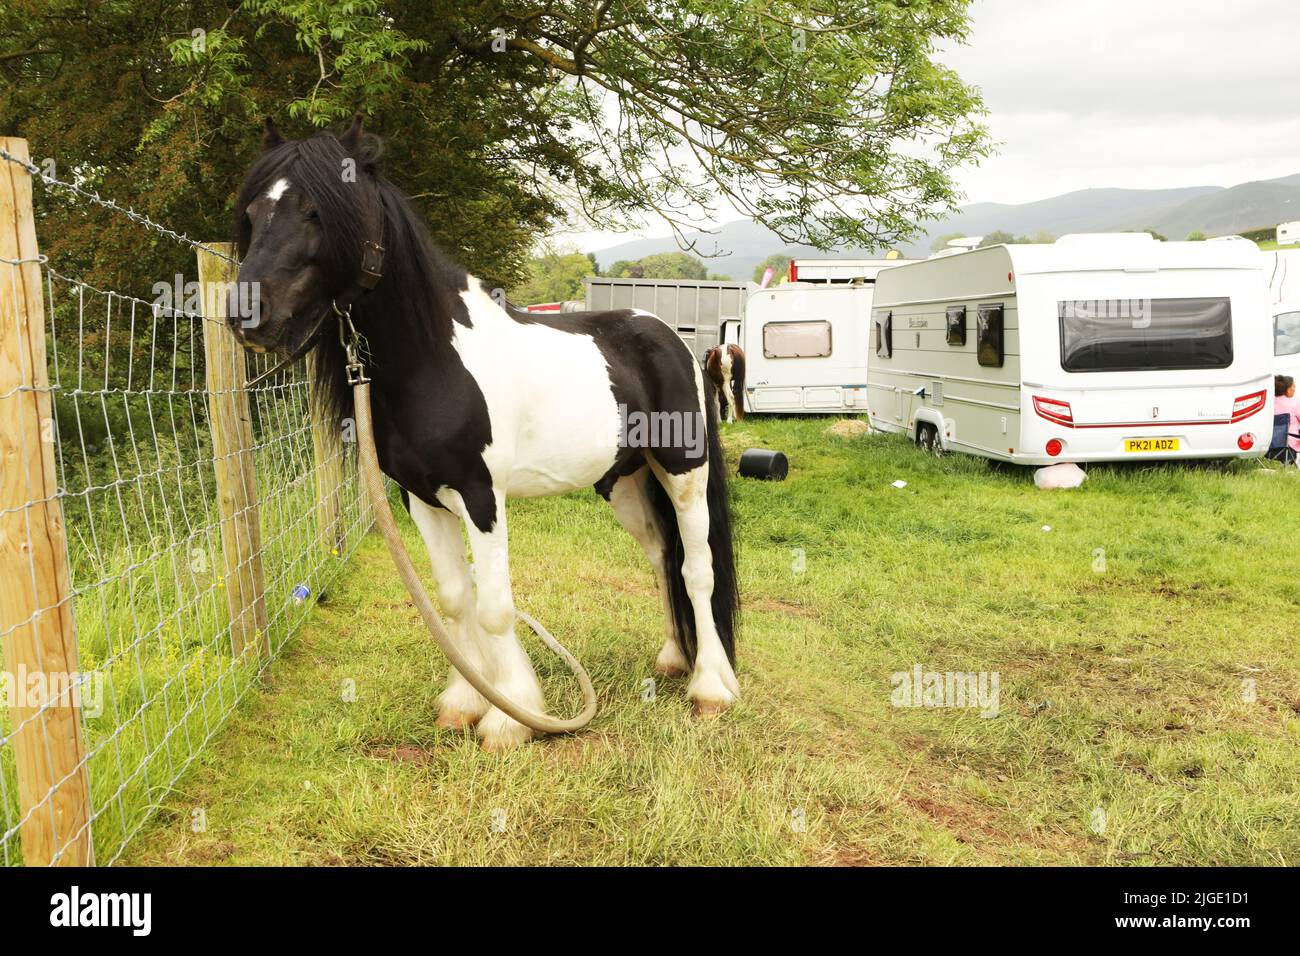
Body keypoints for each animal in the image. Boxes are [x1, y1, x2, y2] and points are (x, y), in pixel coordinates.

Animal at [226, 116, 740, 750]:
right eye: (252, 214)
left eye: (318, 211)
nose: (248, 316)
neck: (435, 357)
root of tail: (673, 339)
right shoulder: (421, 499)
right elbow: (454, 601)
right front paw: (463, 702)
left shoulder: (480, 496)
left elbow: (495, 607)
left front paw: (510, 717)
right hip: (625, 480)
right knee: (662, 557)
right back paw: (672, 659)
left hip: (683, 471)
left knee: (697, 569)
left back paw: (710, 688)